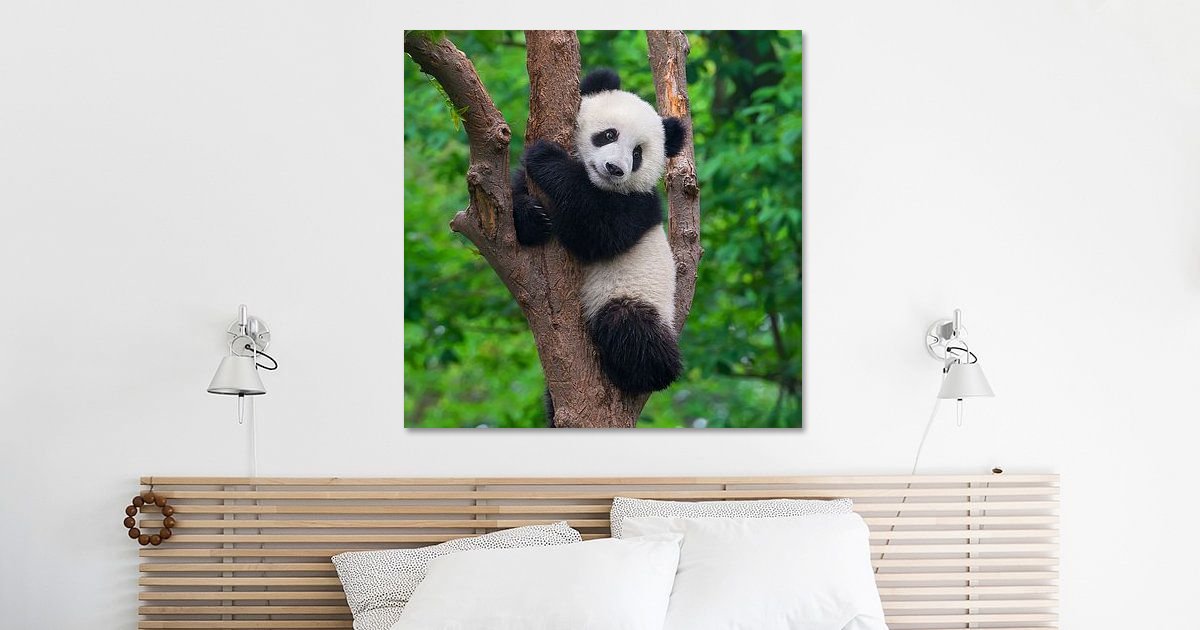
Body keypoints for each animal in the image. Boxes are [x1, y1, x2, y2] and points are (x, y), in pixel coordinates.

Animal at [513, 68, 687, 404]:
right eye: (609, 134)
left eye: (637, 154)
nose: (614, 168)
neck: (599, 183)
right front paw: (531, 217)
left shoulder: (639, 205)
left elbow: (596, 232)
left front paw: (546, 158)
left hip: (636, 295)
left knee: (630, 327)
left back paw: (640, 372)